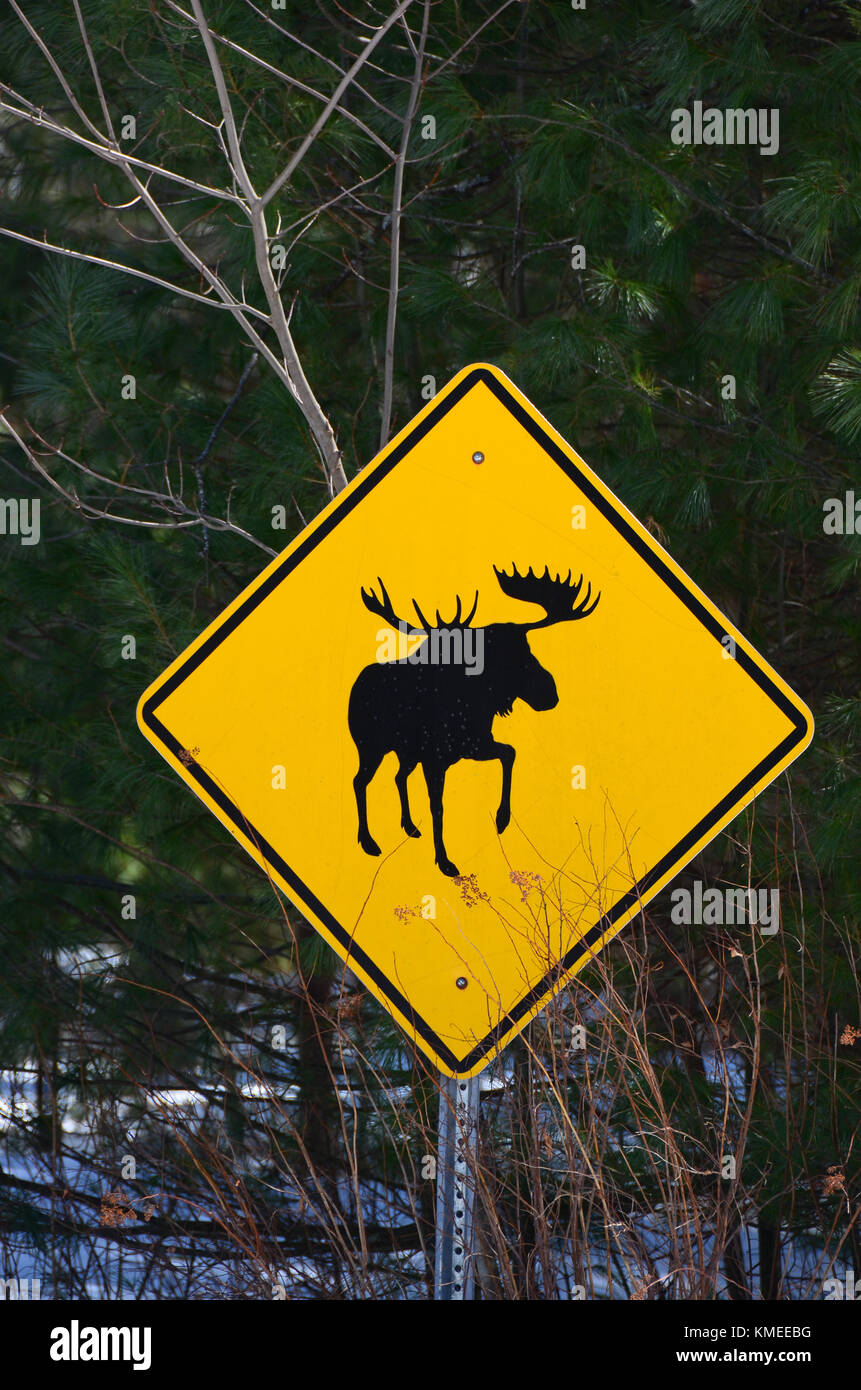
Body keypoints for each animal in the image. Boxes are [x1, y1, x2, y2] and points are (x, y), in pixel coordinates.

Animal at [348, 564, 601, 877]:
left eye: (526, 646)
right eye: (500, 656)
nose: (549, 691)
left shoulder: (474, 746)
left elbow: (509, 753)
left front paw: (502, 819)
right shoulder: (435, 759)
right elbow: (438, 806)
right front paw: (444, 861)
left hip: (406, 753)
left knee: (398, 776)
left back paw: (409, 826)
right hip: (370, 747)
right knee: (360, 781)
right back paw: (368, 841)